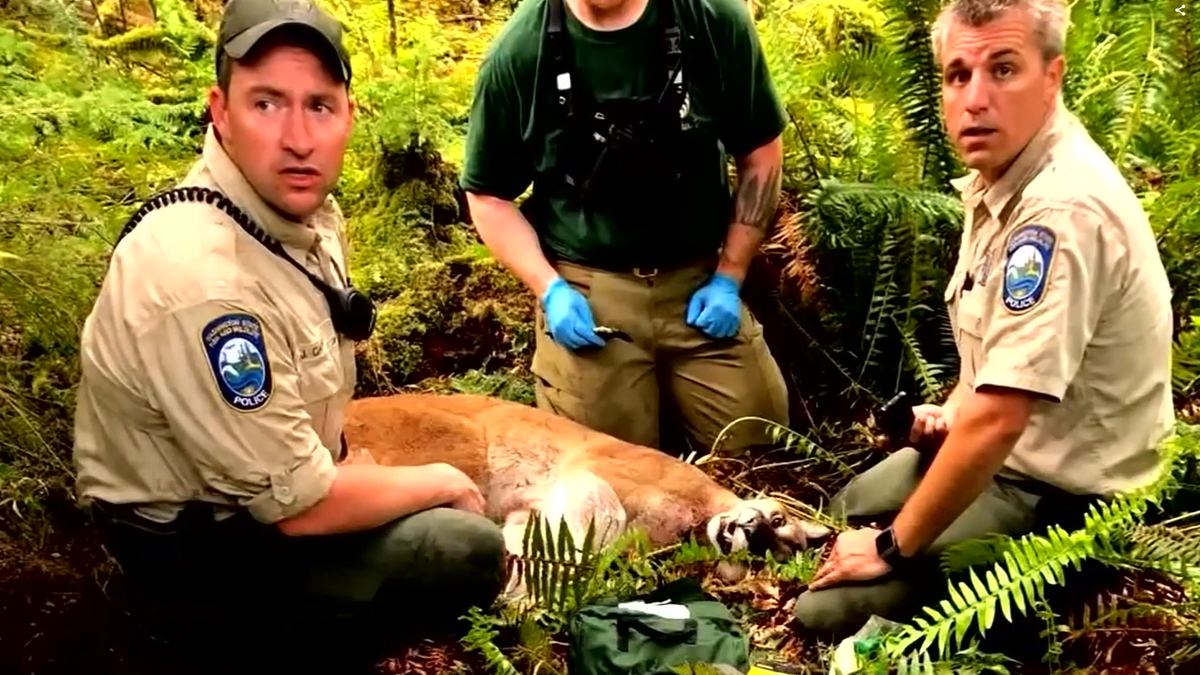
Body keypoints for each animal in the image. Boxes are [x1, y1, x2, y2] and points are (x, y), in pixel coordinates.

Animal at [341, 392, 832, 592]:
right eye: (777, 520)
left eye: (771, 553)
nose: (752, 532)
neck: (695, 518)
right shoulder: (590, 477)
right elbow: (590, 524)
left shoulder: (534, 511)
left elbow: (534, 540)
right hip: (457, 440)